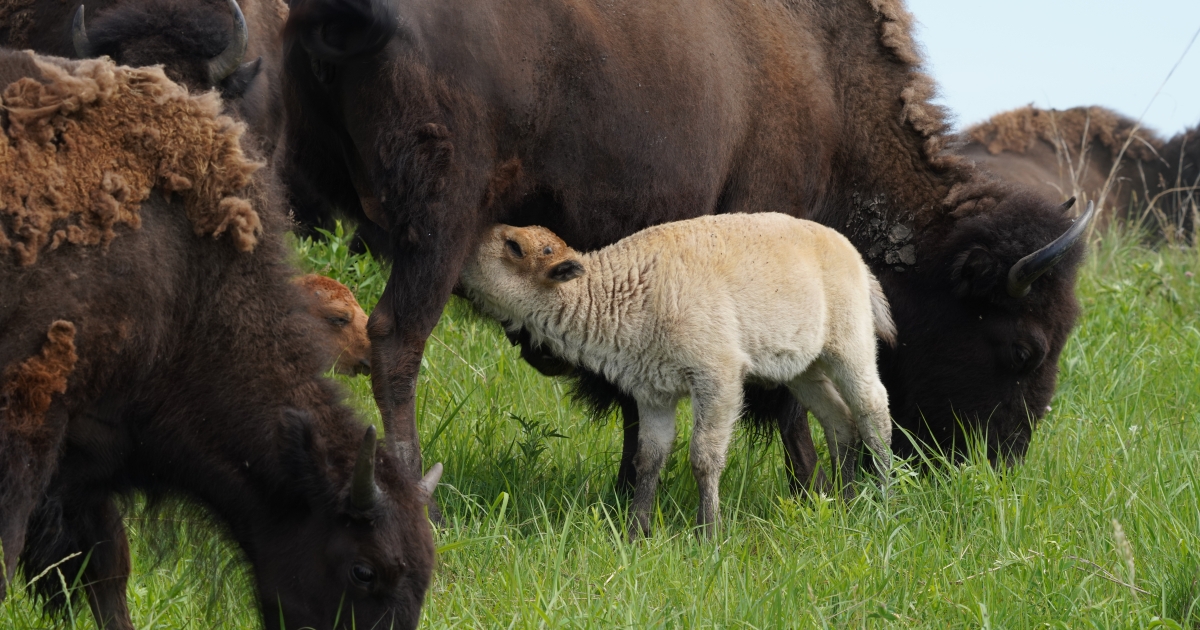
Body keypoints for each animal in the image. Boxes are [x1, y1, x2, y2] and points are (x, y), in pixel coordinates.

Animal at [0, 50, 438, 630]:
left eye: (426, 571)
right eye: (364, 570)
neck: (185, 287)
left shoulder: (91, 461)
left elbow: (107, 570)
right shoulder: (32, 427)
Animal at [279, 0, 1094, 499]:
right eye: (1022, 349)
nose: (992, 469)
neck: (824, 79)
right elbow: (783, 391)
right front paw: (807, 492)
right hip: (441, 224)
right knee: (396, 341)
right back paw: (420, 498)